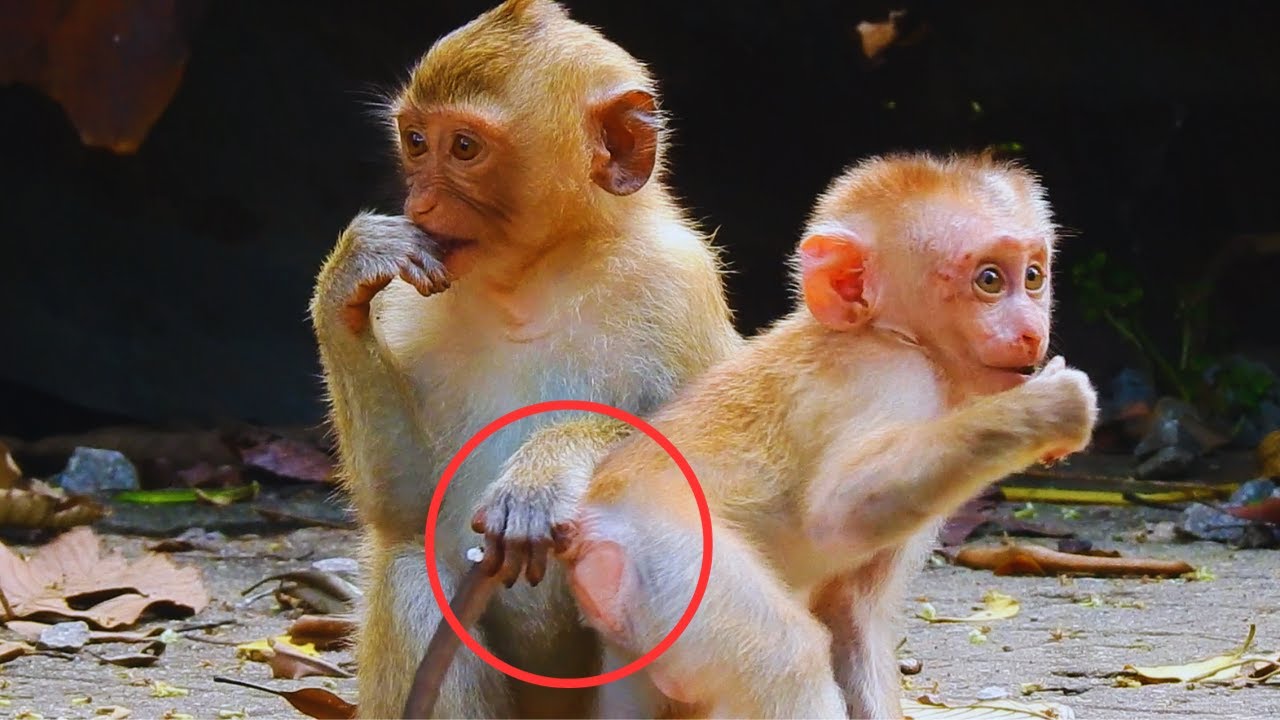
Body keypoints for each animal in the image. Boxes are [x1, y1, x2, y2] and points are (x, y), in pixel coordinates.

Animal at [308, 1, 741, 717]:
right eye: (416, 141)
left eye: (464, 147)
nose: (420, 204)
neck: (537, 279)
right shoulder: (412, 299)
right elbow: (405, 510)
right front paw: (350, 273)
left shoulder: (679, 287)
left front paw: (546, 470)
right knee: (409, 567)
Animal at [552, 152, 1100, 719]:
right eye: (989, 280)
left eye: (1033, 277)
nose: (1030, 330)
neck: (891, 333)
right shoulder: (889, 376)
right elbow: (839, 509)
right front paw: (1047, 407)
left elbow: (853, 617)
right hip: (661, 546)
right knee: (786, 656)